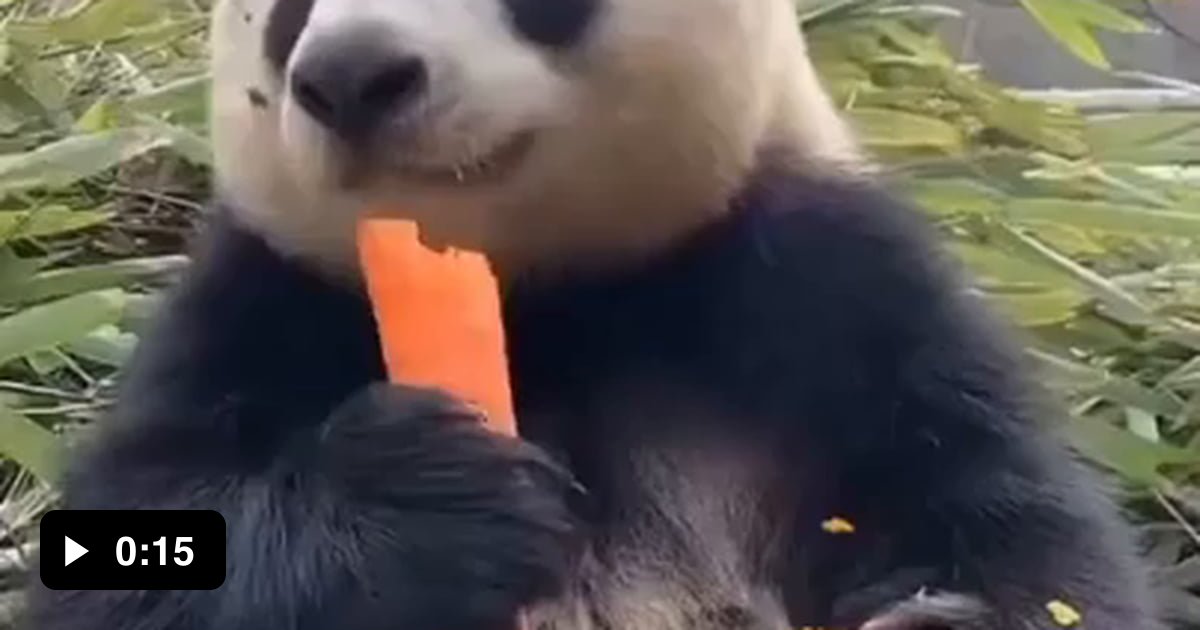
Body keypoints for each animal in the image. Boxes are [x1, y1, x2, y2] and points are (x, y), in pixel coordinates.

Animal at [22, 0, 1160, 629]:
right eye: (290, 5)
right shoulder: (262, 301)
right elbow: (128, 579)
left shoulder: (828, 288)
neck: (543, 290)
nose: (353, 76)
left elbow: (1032, 539)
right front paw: (429, 492)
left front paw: (943, 615)